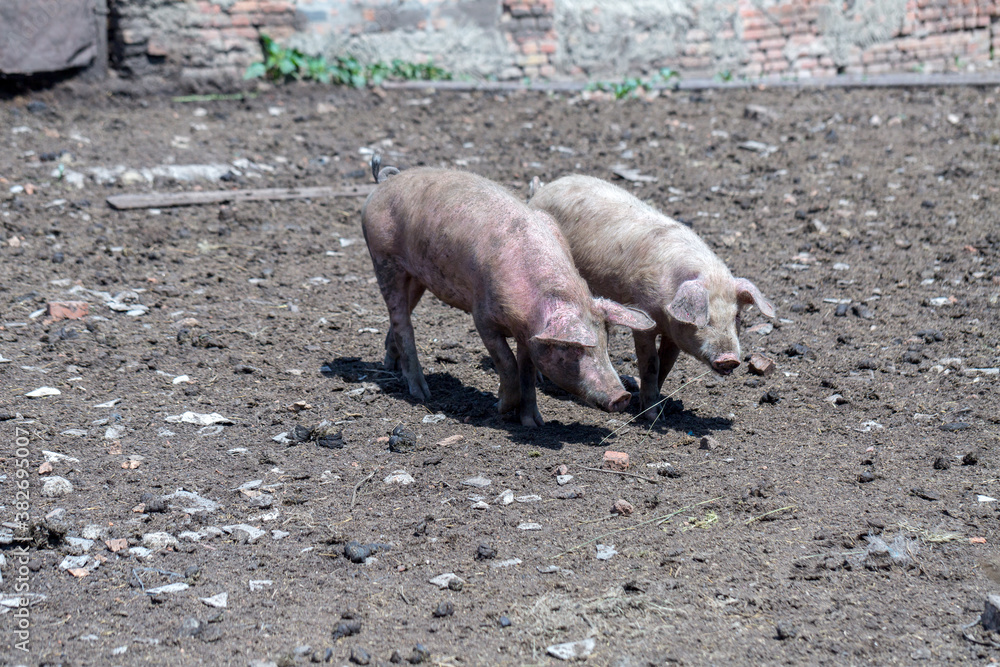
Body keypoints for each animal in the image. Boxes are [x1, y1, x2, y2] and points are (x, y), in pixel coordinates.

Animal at [361, 157, 655, 427]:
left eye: (606, 343)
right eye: (572, 350)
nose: (622, 396)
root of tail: (385, 181)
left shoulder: (530, 335)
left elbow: (526, 371)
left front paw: (533, 423)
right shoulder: (482, 317)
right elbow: (507, 363)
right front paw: (500, 407)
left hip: (417, 276)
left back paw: (390, 366)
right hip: (383, 258)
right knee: (402, 320)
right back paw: (422, 394)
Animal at [529, 174, 775, 420]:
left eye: (737, 317)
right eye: (706, 319)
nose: (729, 358)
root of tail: (543, 188)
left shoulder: (674, 333)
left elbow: (666, 364)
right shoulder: (643, 318)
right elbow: (650, 363)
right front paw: (651, 416)